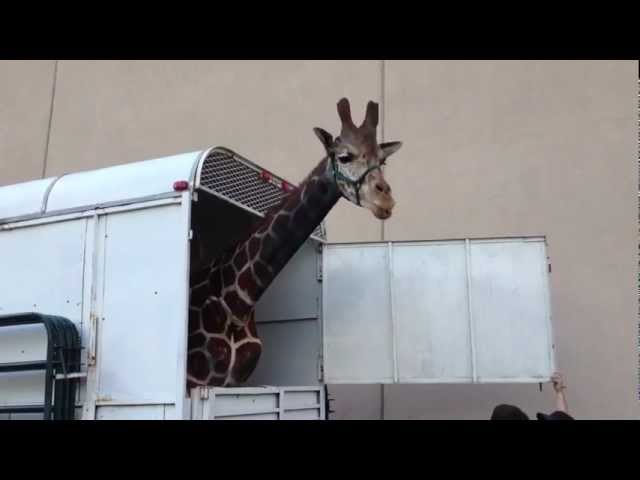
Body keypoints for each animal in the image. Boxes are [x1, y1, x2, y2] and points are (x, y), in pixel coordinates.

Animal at [186, 98, 403, 389]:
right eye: (344, 156)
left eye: (383, 160)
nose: (386, 201)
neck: (238, 301)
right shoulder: (197, 380)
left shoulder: (234, 383)